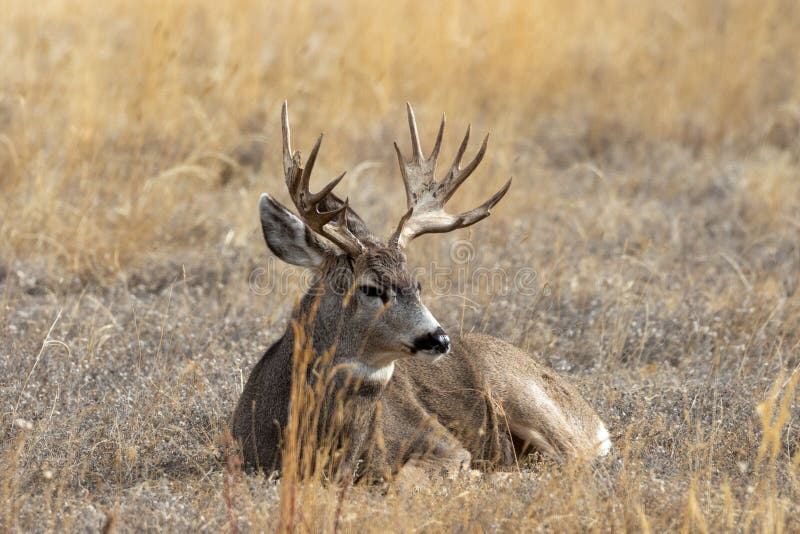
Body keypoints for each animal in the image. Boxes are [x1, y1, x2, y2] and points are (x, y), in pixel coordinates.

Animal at [231, 102, 611, 483]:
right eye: (370, 287)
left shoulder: (444, 442)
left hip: (528, 399)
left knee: (572, 460)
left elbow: (406, 480)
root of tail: (595, 419)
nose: (439, 339)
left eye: (417, 284)